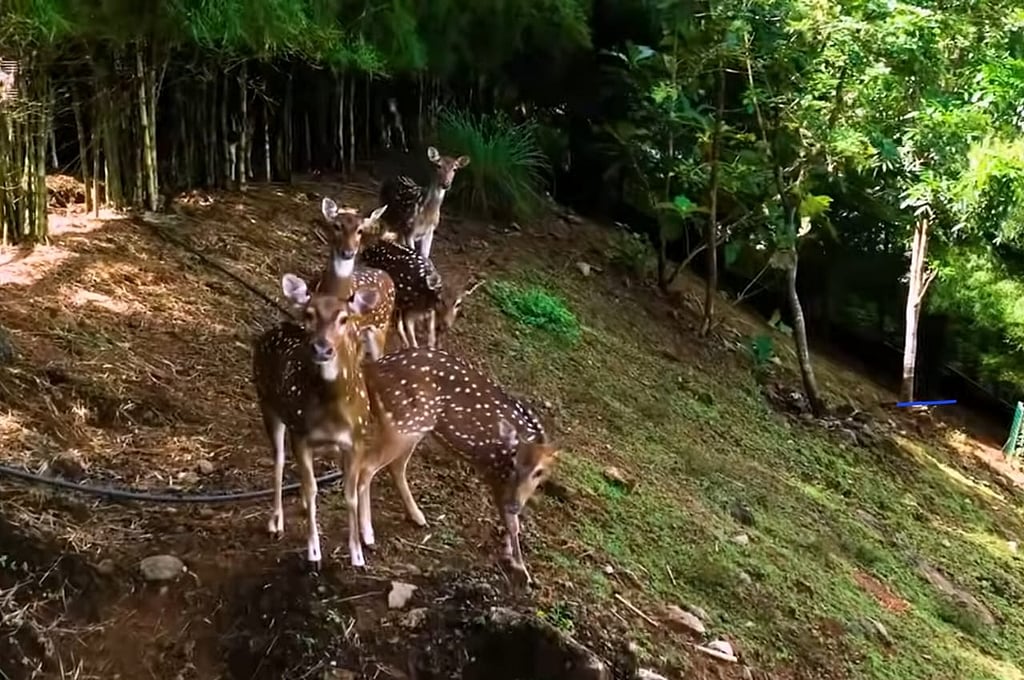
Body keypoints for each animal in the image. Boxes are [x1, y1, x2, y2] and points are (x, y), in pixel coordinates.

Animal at [252, 271, 381, 568]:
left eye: (344, 318)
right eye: (309, 314)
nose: (322, 348)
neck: (333, 413)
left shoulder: (356, 440)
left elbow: (350, 494)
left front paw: (357, 554)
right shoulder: (301, 436)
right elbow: (312, 490)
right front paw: (313, 553)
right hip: (267, 404)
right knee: (278, 462)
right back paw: (275, 522)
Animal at [345, 342, 559, 585]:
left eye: (539, 472)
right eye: (513, 462)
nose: (515, 504)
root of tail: (371, 370)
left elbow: (511, 521)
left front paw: (510, 555)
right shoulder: (494, 472)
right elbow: (513, 524)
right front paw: (522, 569)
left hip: (414, 427)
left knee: (394, 466)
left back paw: (417, 517)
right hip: (403, 424)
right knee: (367, 467)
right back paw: (367, 535)